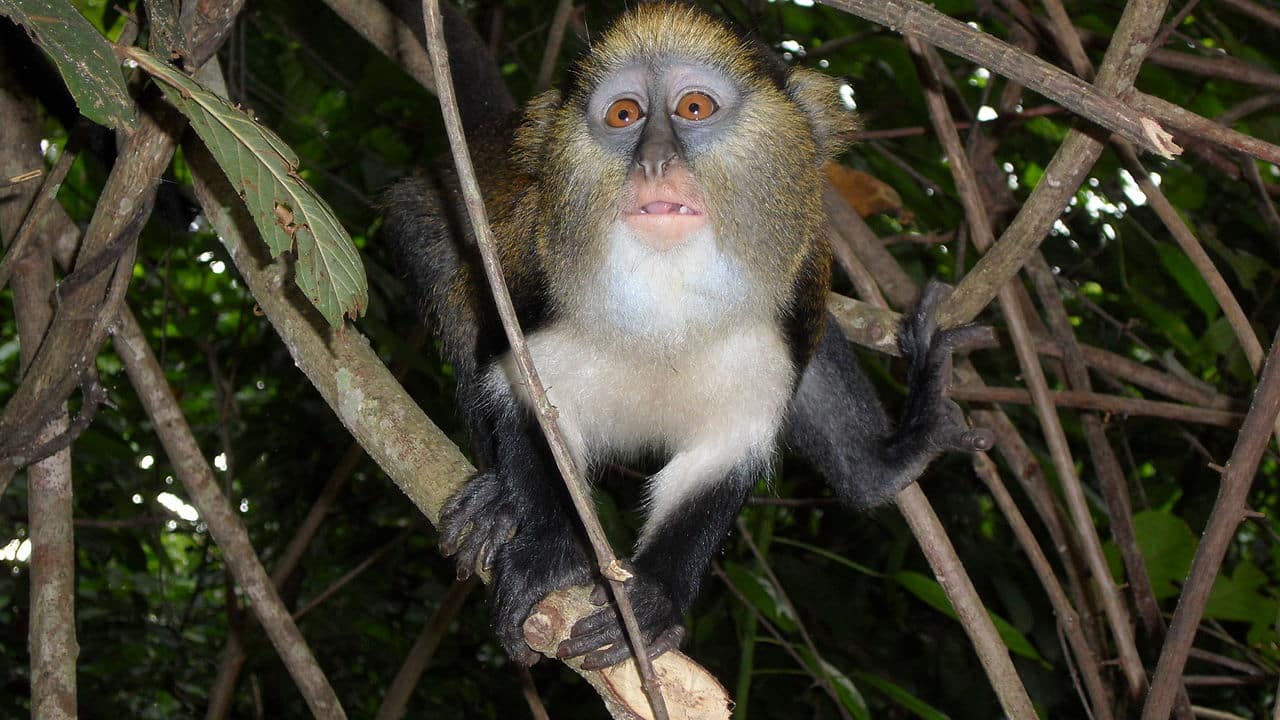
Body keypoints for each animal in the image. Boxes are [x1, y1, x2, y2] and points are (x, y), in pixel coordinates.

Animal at [382, 1, 992, 670]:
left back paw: (883, 463)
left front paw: (656, 599)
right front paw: (546, 552)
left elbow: (724, 452)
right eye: (624, 115)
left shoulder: (780, 317)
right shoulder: (535, 291)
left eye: (694, 108)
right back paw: (496, 500)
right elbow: (524, 399)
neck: (667, 299)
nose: (653, 162)